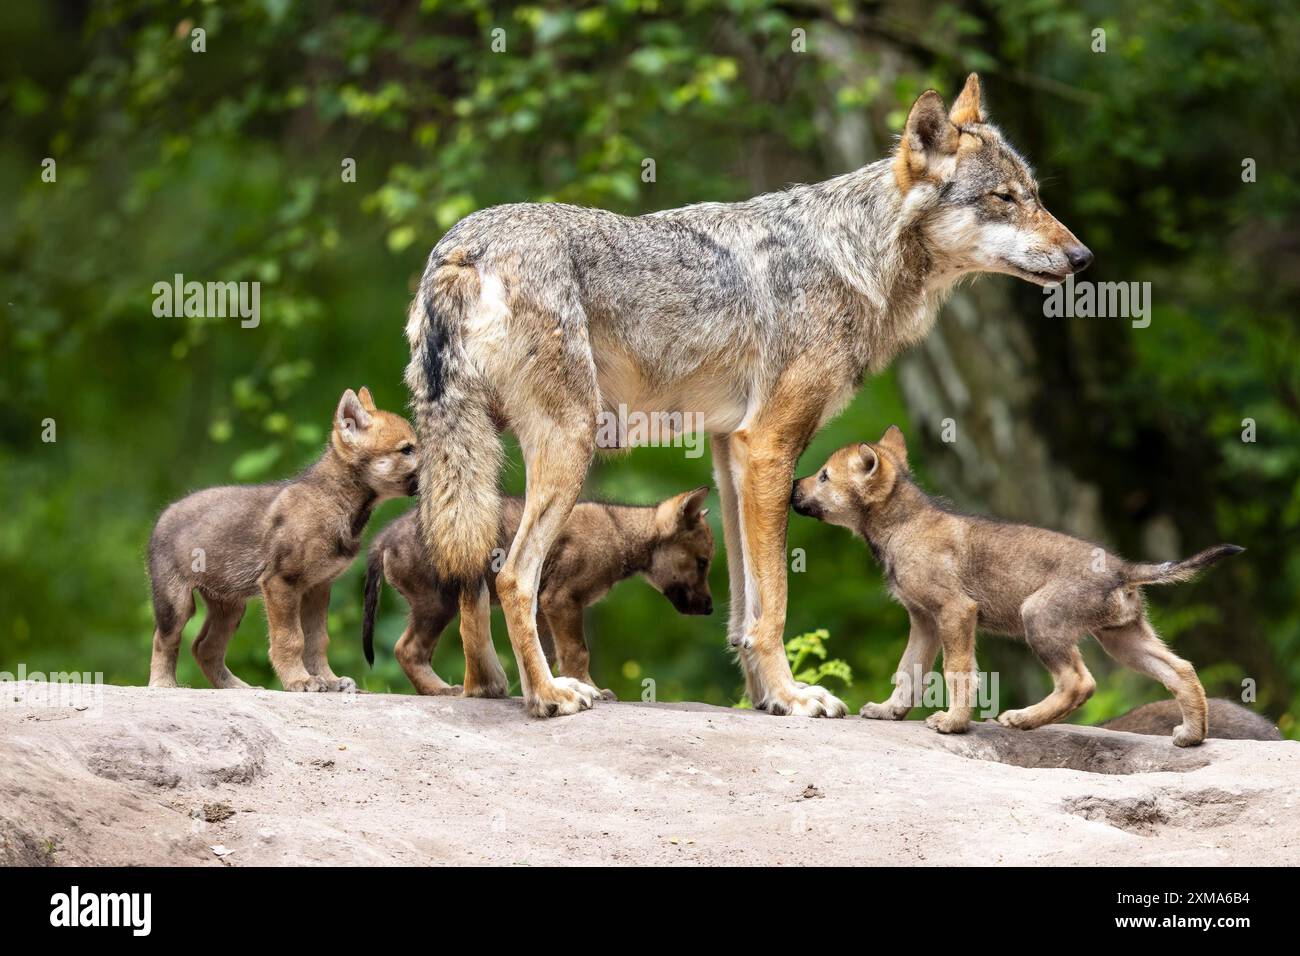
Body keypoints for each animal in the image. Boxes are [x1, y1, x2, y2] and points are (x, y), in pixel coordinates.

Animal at [146, 388, 418, 692]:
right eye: (407, 449)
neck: (336, 503)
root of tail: (164, 514)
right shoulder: (280, 583)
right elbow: (291, 639)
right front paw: (300, 680)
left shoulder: (318, 587)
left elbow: (317, 640)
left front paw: (330, 681)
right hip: (177, 604)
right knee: (164, 640)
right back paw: (164, 685)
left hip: (230, 606)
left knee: (204, 648)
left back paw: (239, 688)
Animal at [361, 488, 714, 698]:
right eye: (702, 562)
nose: (710, 609)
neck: (622, 532)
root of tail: (384, 537)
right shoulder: (562, 599)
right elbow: (577, 651)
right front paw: (592, 690)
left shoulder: (543, 608)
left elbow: (545, 651)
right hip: (437, 603)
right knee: (407, 649)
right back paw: (441, 690)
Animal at [405, 73, 1092, 718]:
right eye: (1003, 199)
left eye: (1035, 194)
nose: (1083, 256)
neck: (855, 260)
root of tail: (461, 246)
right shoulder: (769, 447)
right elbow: (776, 604)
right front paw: (793, 697)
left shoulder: (730, 452)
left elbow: (744, 608)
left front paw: (768, 699)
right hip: (567, 446)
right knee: (512, 578)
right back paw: (550, 695)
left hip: (472, 463)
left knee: (474, 578)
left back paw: (513, 690)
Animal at [791, 426, 1243, 746]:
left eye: (825, 475)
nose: (793, 485)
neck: (901, 525)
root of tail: (1123, 567)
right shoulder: (923, 620)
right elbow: (908, 671)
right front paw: (889, 711)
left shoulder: (956, 612)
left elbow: (956, 671)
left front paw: (953, 723)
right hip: (1122, 638)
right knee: (1180, 669)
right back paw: (1192, 736)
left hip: (1040, 617)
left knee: (1080, 682)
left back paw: (1021, 719)